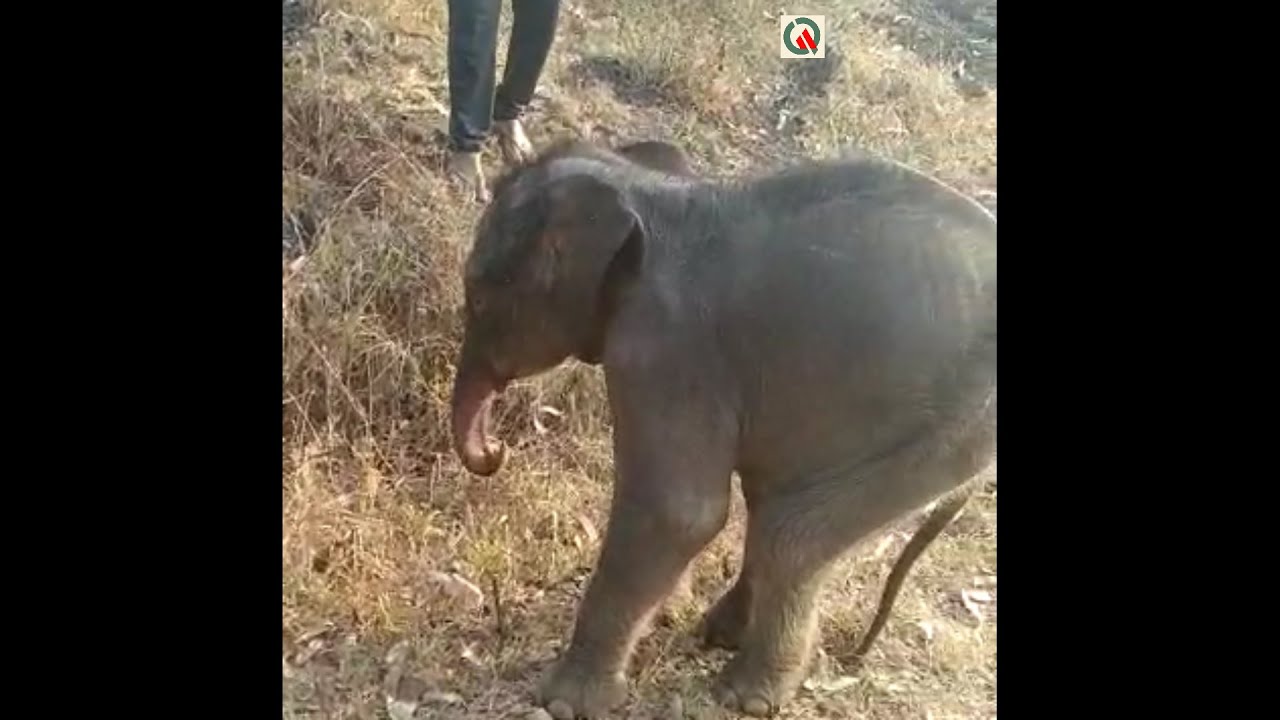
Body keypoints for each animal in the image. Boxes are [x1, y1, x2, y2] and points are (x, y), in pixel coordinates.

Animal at [449, 138, 997, 718]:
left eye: (478, 296)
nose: (494, 451)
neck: (653, 194)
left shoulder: (667, 350)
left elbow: (678, 514)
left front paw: (561, 702)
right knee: (775, 506)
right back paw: (720, 637)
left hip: (959, 422)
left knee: (789, 534)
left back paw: (743, 694)